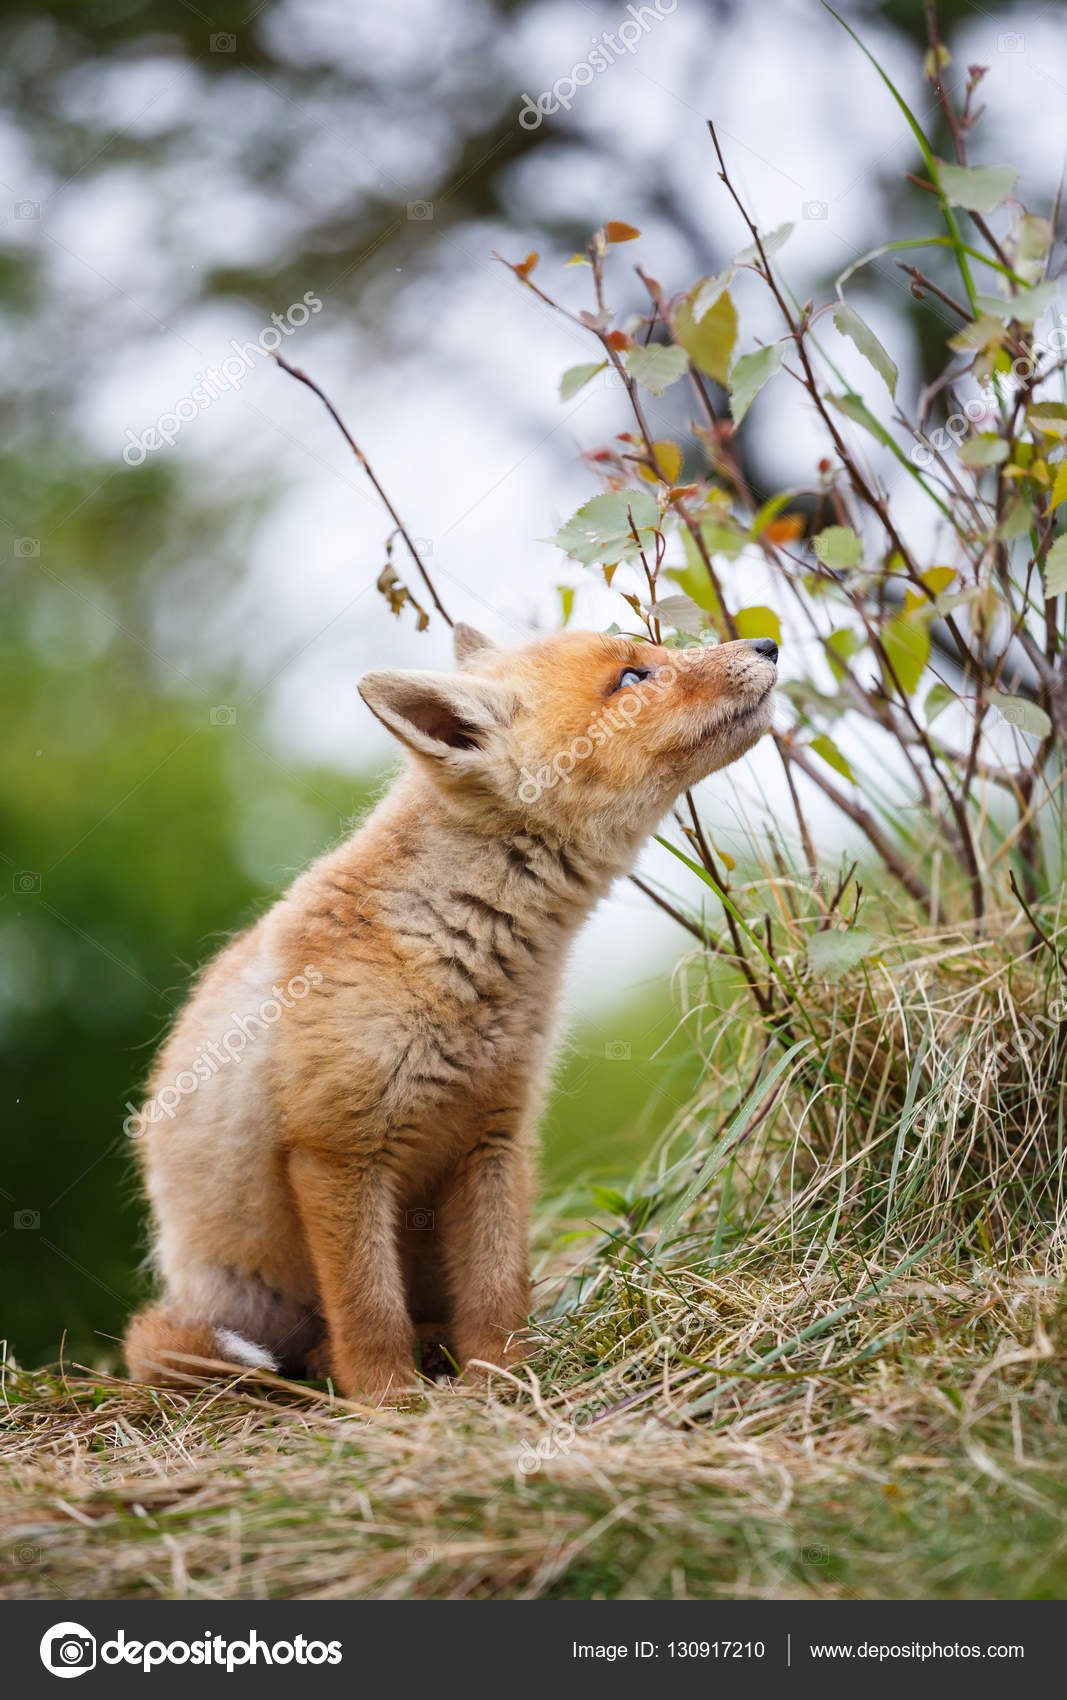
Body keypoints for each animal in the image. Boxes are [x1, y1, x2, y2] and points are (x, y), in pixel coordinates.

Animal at [124, 623, 778, 1401]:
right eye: (631, 678)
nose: (767, 644)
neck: (457, 959)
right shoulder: (337, 1150)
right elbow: (369, 1309)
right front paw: (388, 1401)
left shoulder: (494, 1136)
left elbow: (498, 1289)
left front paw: (506, 1381)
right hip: (244, 1302)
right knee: (282, 1344)